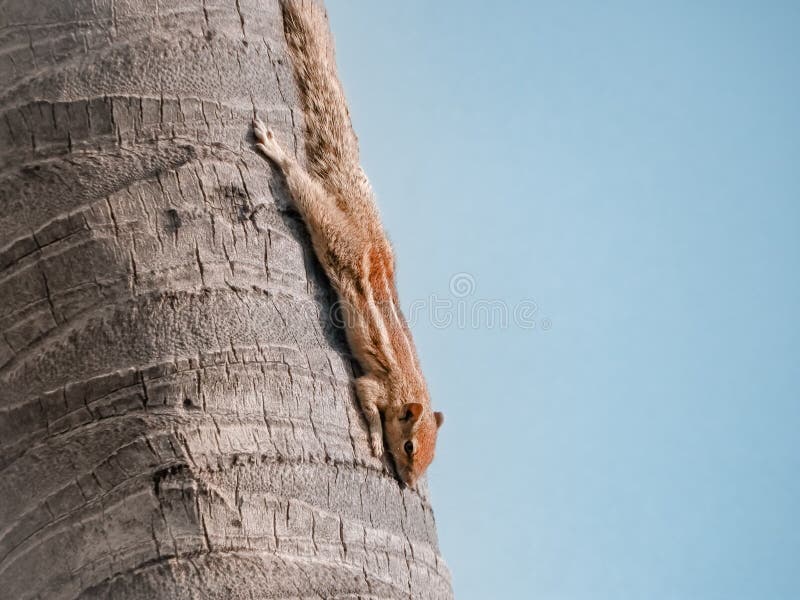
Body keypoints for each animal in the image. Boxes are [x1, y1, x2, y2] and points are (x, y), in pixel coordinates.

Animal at [252, 0, 443, 488]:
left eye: (432, 457)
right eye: (409, 446)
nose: (409, 484)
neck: (410, 388)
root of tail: (370, 236)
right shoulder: (374, 385)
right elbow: (367, 403)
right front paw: (375, 440)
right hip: (338, 241)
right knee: (309, 196)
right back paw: (279, 154)